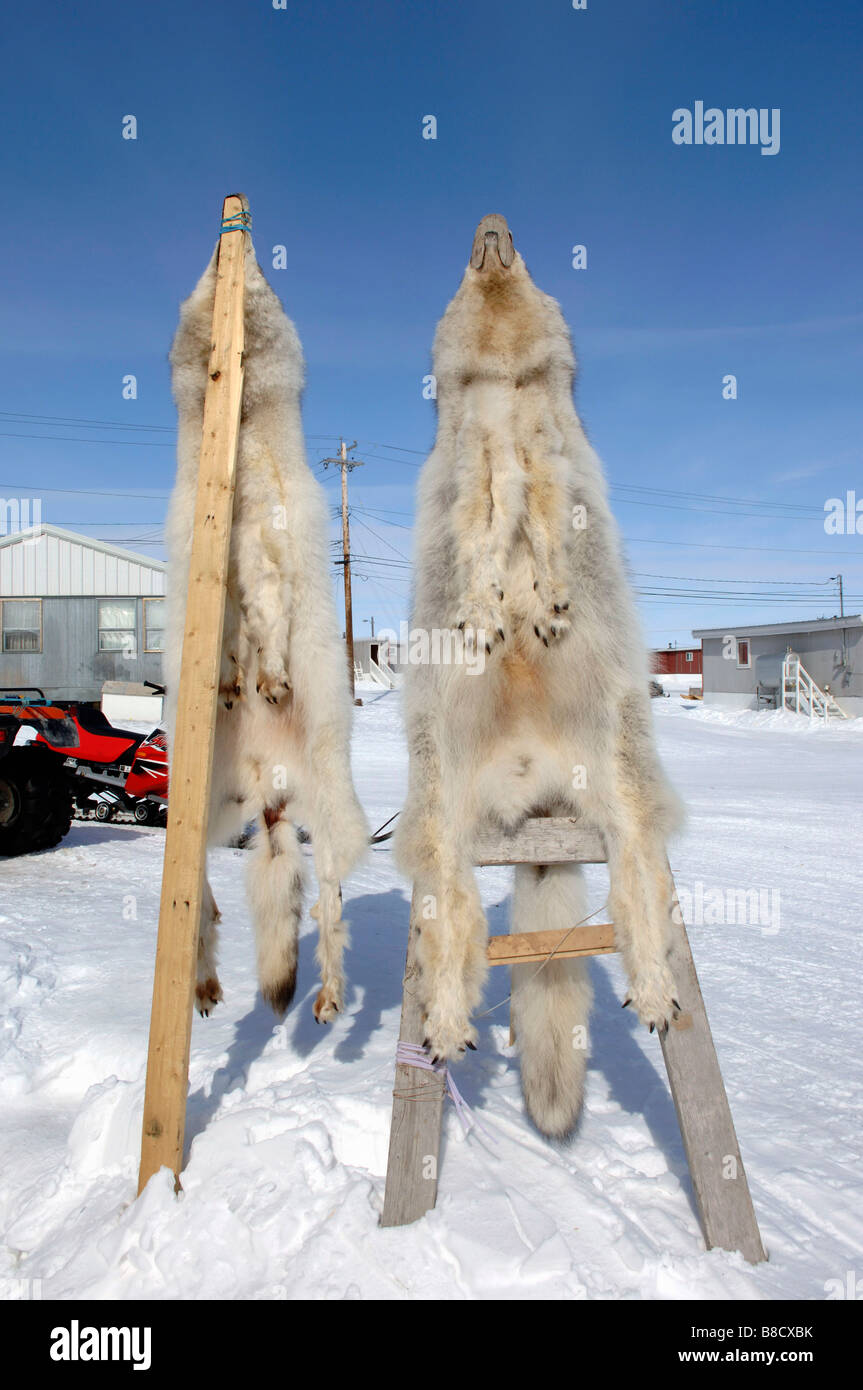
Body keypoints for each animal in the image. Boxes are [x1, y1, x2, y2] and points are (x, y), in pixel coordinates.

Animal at [165, 235, 368, 1024]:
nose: (236, 253)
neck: (243, 423)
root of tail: (269, 789)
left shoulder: (266, 543)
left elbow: (269, 614)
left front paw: (272, 677)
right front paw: (238, 676)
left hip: (329, 810)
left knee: (331, 905)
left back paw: (329, 1000)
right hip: (210, 812)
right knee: (207, 893)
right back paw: (204, 982)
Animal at [395, 215, 683, 1139]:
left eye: (515, 245)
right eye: (470, 254)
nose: (491, 223)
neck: (503, 377)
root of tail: (534, 793)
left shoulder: (548, 460)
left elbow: (551, 529)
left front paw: (550, 604)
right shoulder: (475, 468)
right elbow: (484, 541)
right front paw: (487, 614)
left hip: (621, 802)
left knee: (637, 899)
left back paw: (656, 992)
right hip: (444, 834)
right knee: (454, 943)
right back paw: (447, 1026)